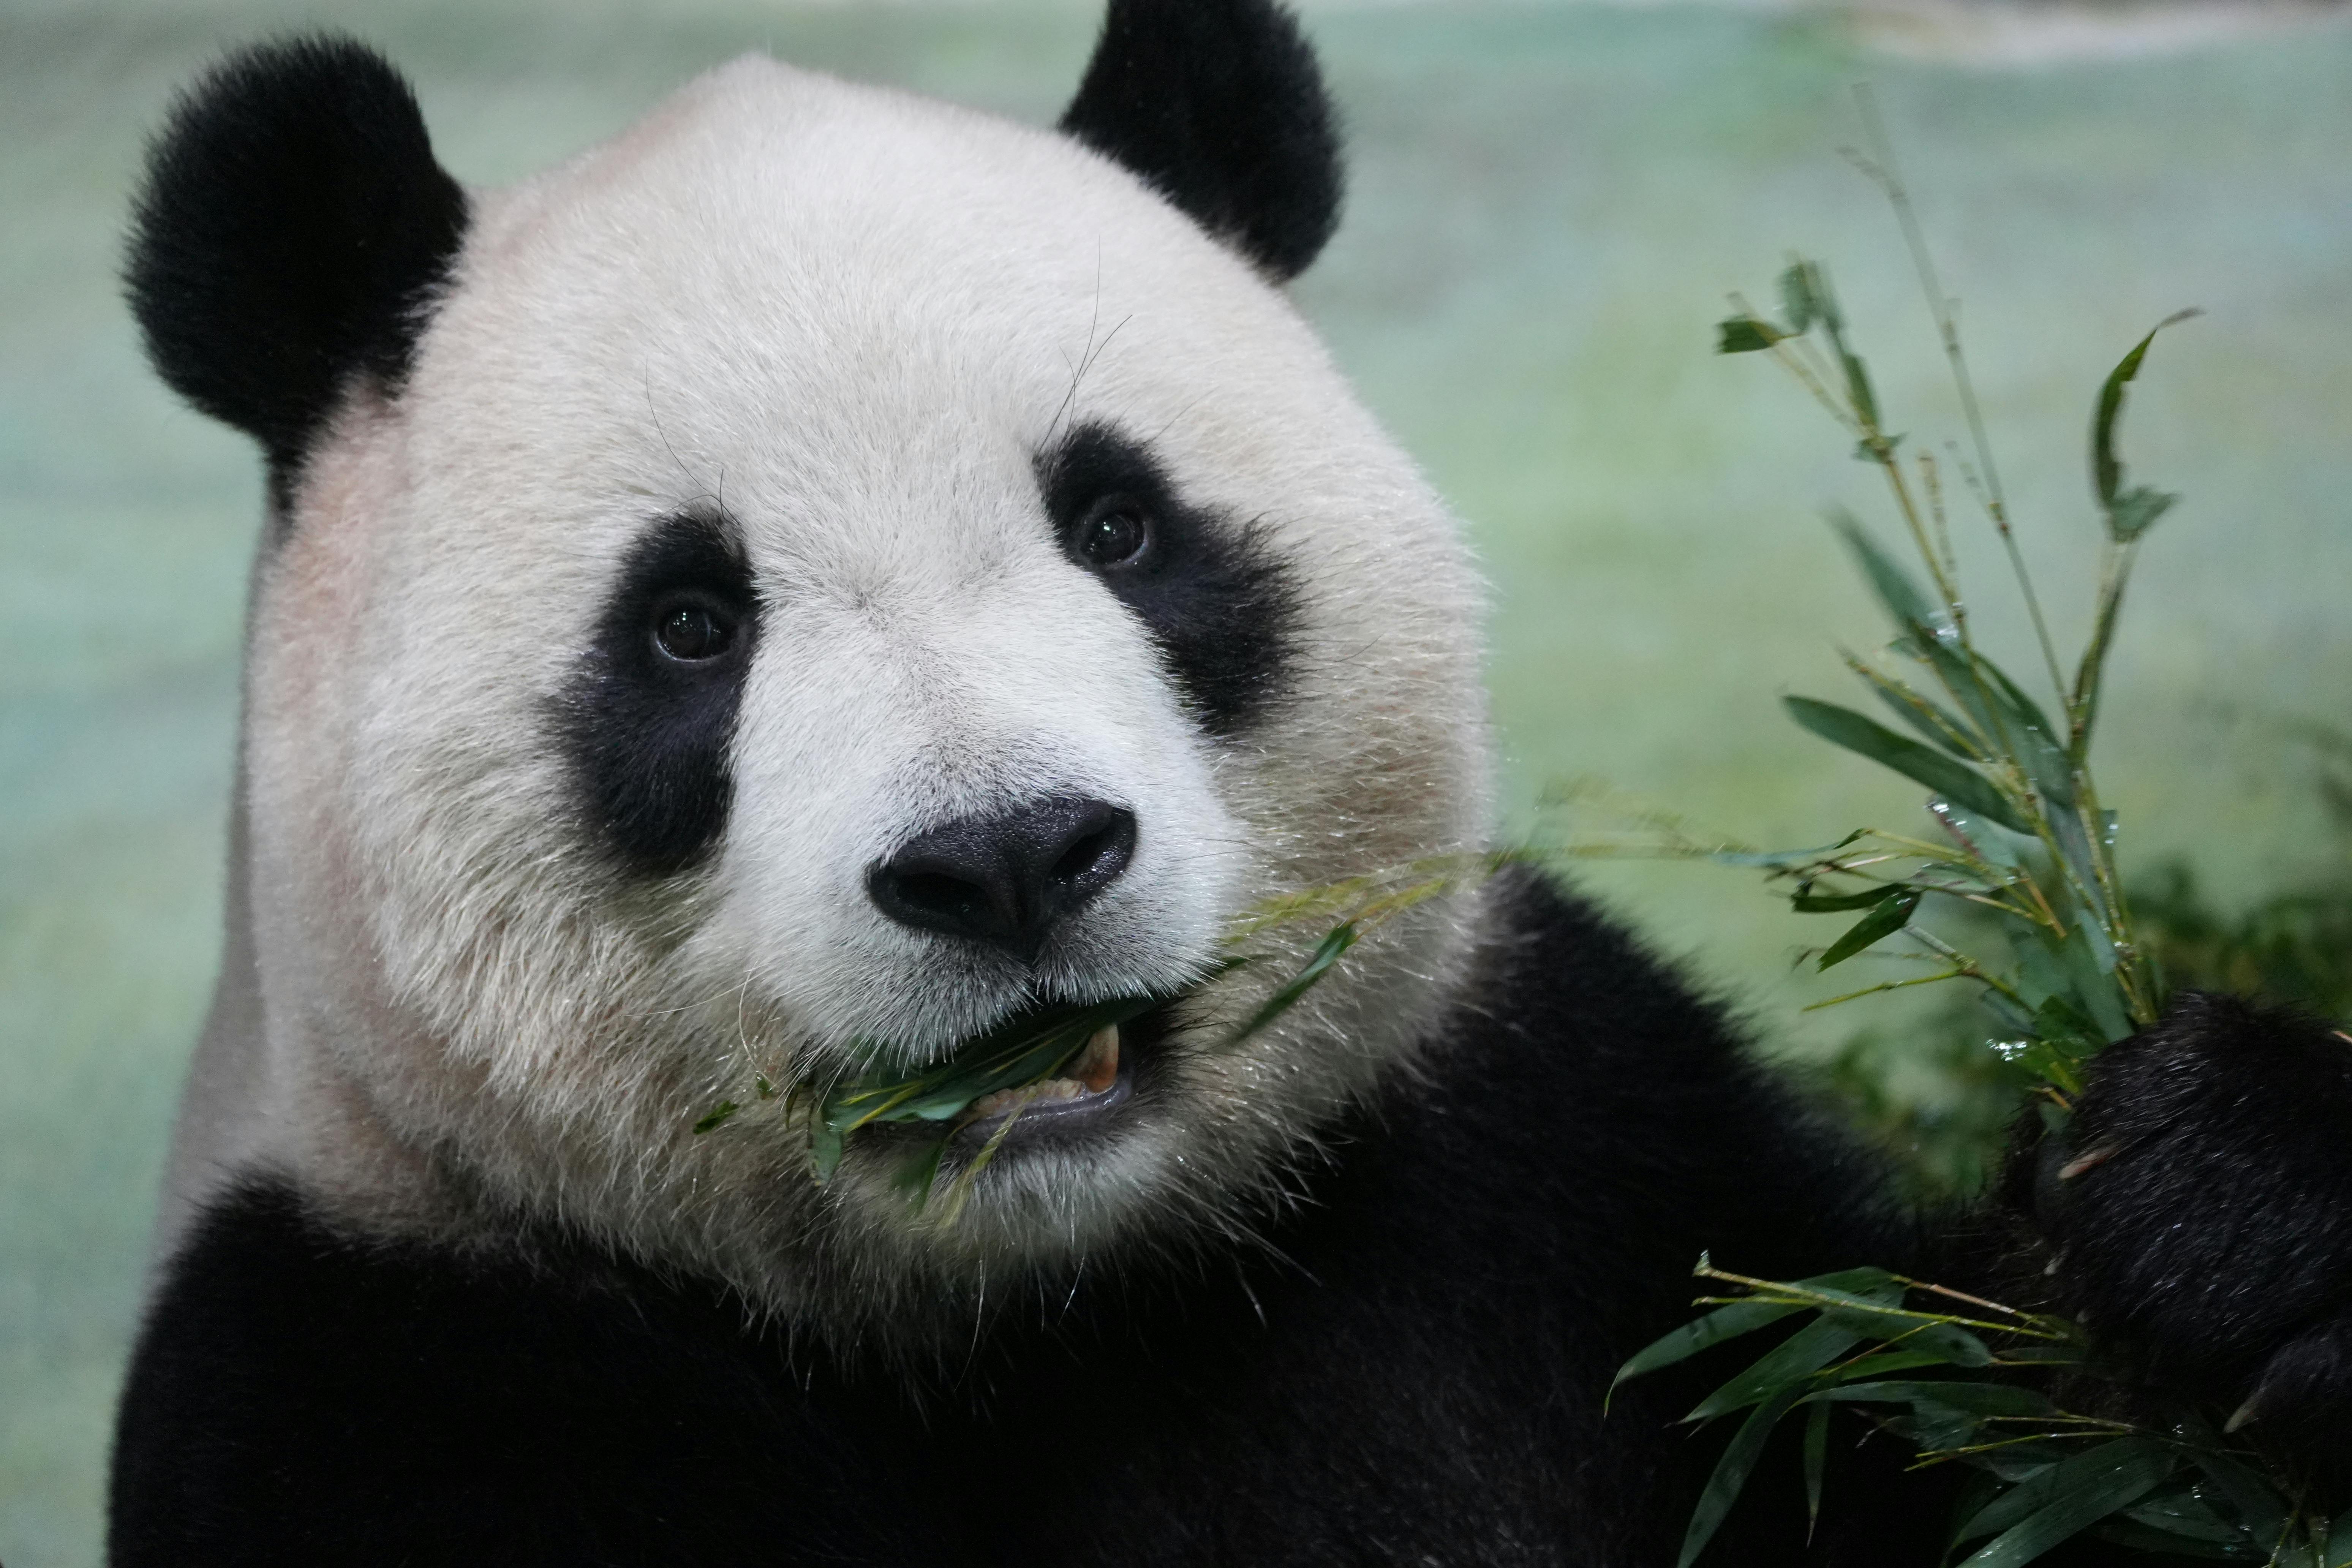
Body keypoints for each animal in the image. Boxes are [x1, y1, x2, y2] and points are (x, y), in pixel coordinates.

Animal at [108, 3, 2352, 1563]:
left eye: (1118, 524)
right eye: (687, 625)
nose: (1009, 856)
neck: (1064, 1306)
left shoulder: (1557, 1159)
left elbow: (1929, 1408)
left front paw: (2215, 1208)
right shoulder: (395, 1364)